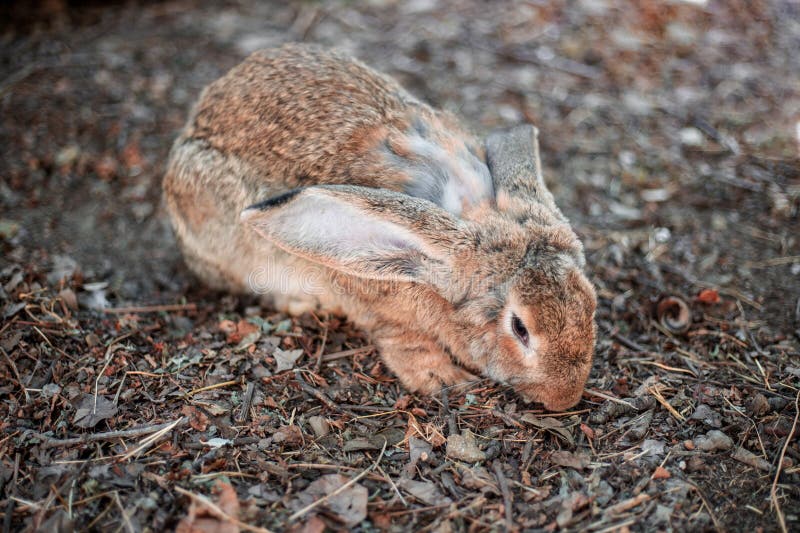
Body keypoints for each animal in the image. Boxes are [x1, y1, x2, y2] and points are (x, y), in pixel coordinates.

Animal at [163, 44, 597, 411]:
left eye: (590, 302)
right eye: (520, 328)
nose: (564, 398)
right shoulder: (372, 300)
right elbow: (400, 338)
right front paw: (443, 378)